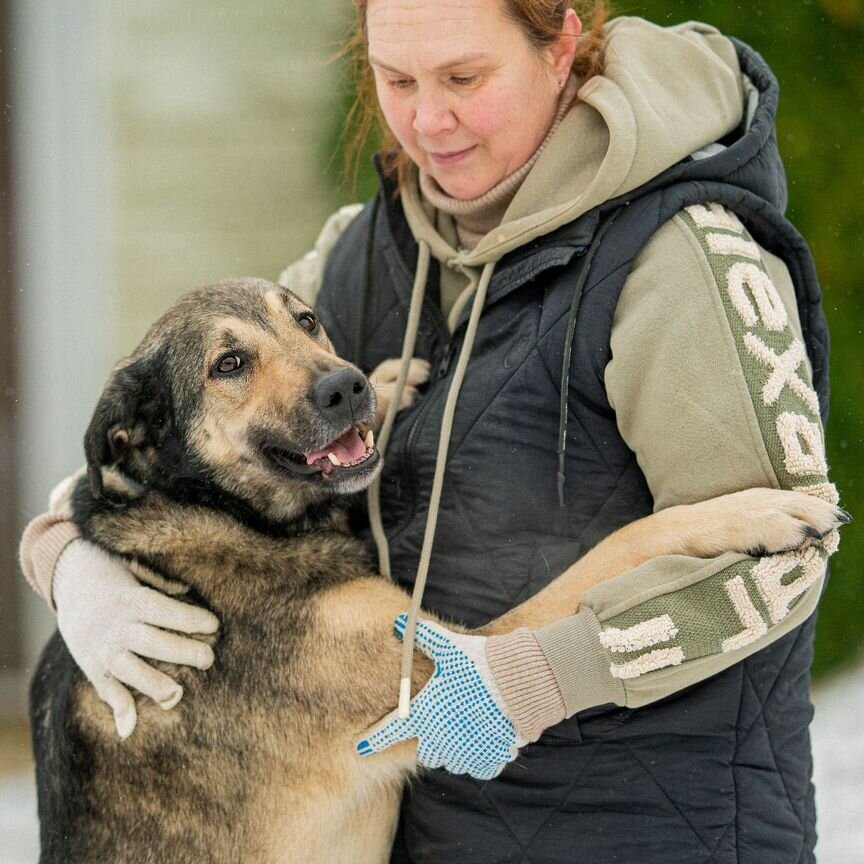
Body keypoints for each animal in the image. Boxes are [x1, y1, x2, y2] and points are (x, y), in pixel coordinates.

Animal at [28, 280, 844, 860]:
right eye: (228, 364)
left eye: (306, 321)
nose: (346, 387)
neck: (220, 512)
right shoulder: (444, 659)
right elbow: (622, 544)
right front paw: (756, 510)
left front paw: (393, 381)